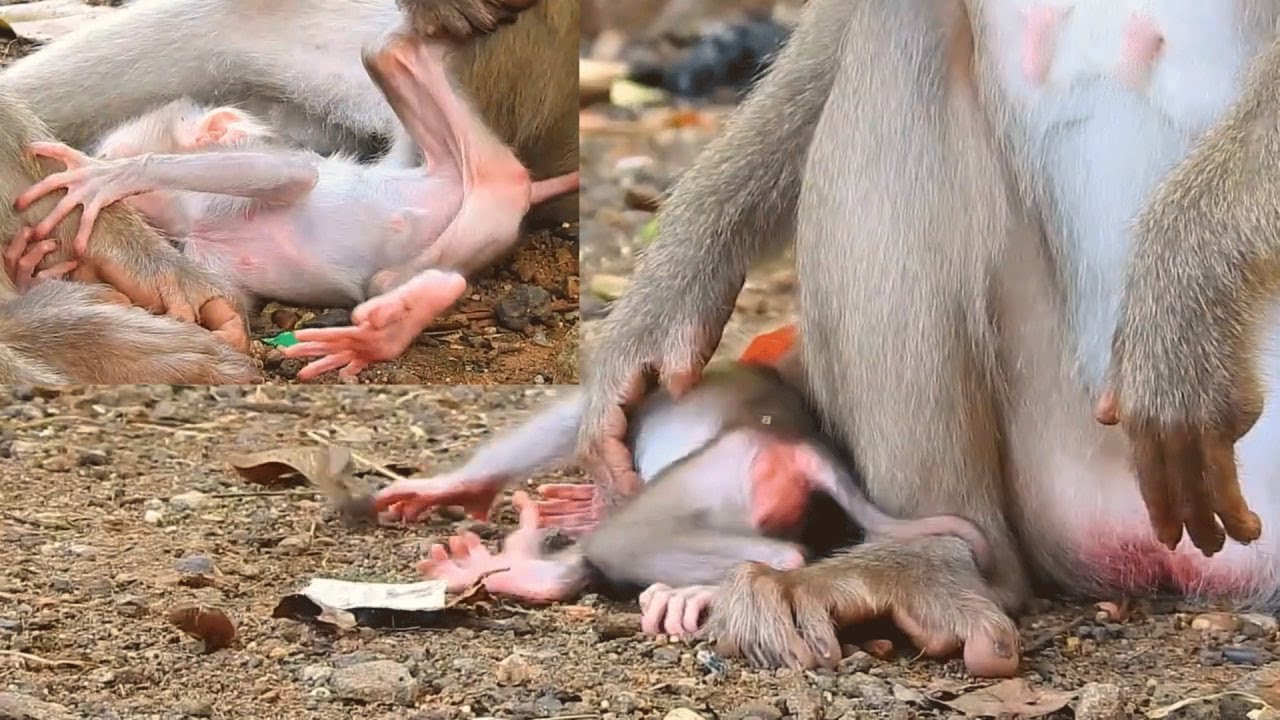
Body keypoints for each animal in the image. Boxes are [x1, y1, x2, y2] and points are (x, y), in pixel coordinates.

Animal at [15, 98, 578, 380]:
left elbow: (289, 173)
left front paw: (107, 177)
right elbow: (227, 306)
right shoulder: (203, 254)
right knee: (396, 282)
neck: (190, 219)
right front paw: (32, 266)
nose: (102, 158)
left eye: (110, 151)